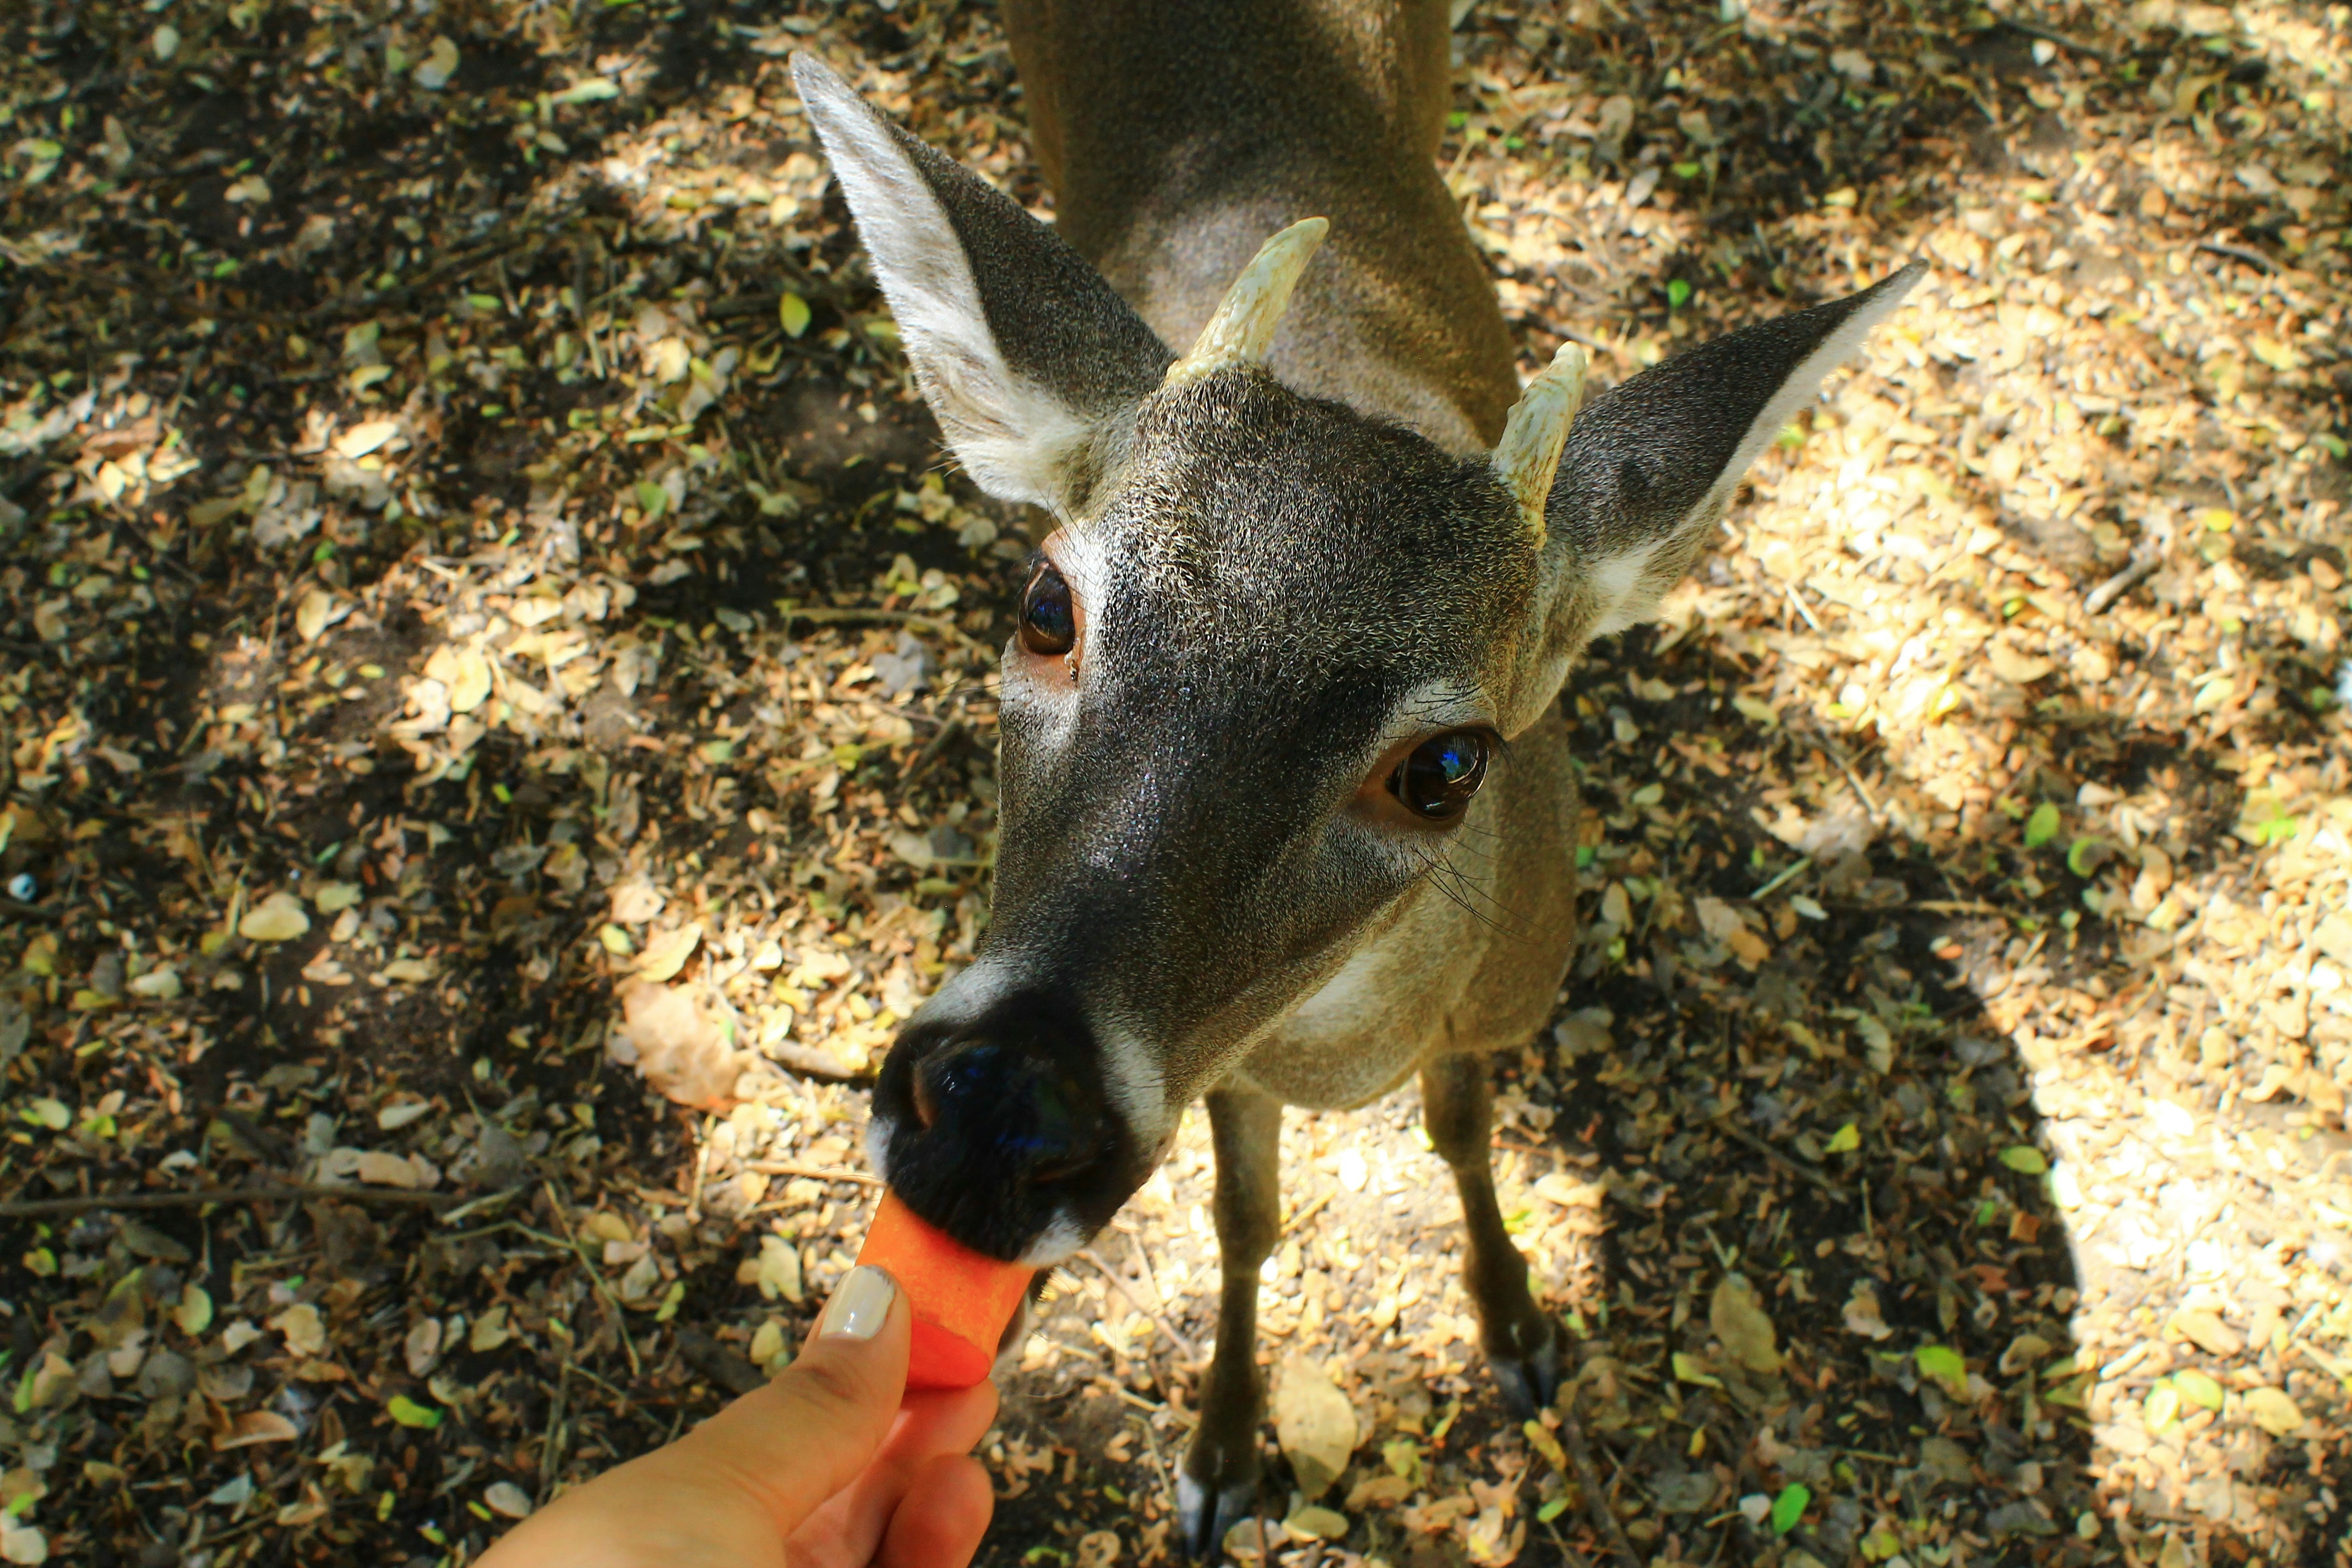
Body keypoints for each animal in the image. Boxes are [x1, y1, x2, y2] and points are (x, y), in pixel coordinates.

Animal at [790, 5, 1920, 1553]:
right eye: (1045, 604)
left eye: (1444, 765)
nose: (999, 1109)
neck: (1344, 1052)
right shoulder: (1229, 1067)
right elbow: (1244, 1219)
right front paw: (1217, 1449)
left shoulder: (1497, 1002)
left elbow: (1459, 1133)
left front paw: (1518, 1324)